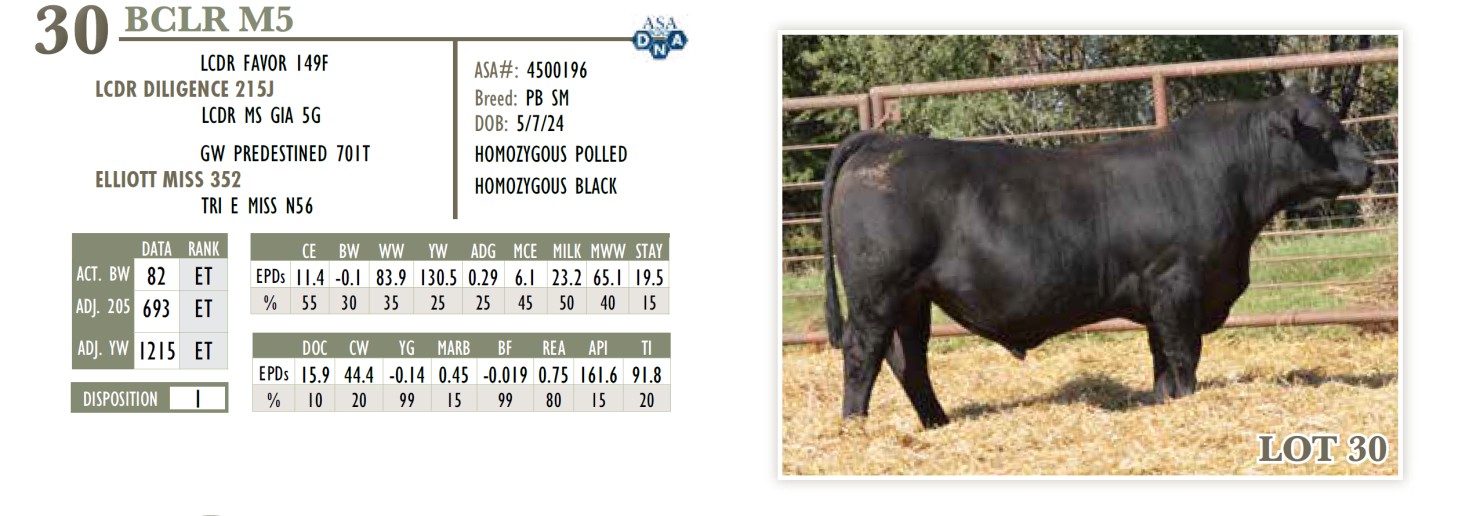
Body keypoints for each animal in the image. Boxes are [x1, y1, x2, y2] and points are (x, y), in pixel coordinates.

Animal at [821, 86, 1374, 428]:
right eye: (1328, 129)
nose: (1369, 168)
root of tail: (884, 138)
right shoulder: (1177, 287)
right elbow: (1184, 357)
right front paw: (1187, 402)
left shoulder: (1158, 299)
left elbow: (1161, 363)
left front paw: (1163, 405)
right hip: (879, 290)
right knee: (863, 354)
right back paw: (855, 425)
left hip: (914, 297)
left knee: (908, 359)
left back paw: (938, 423)